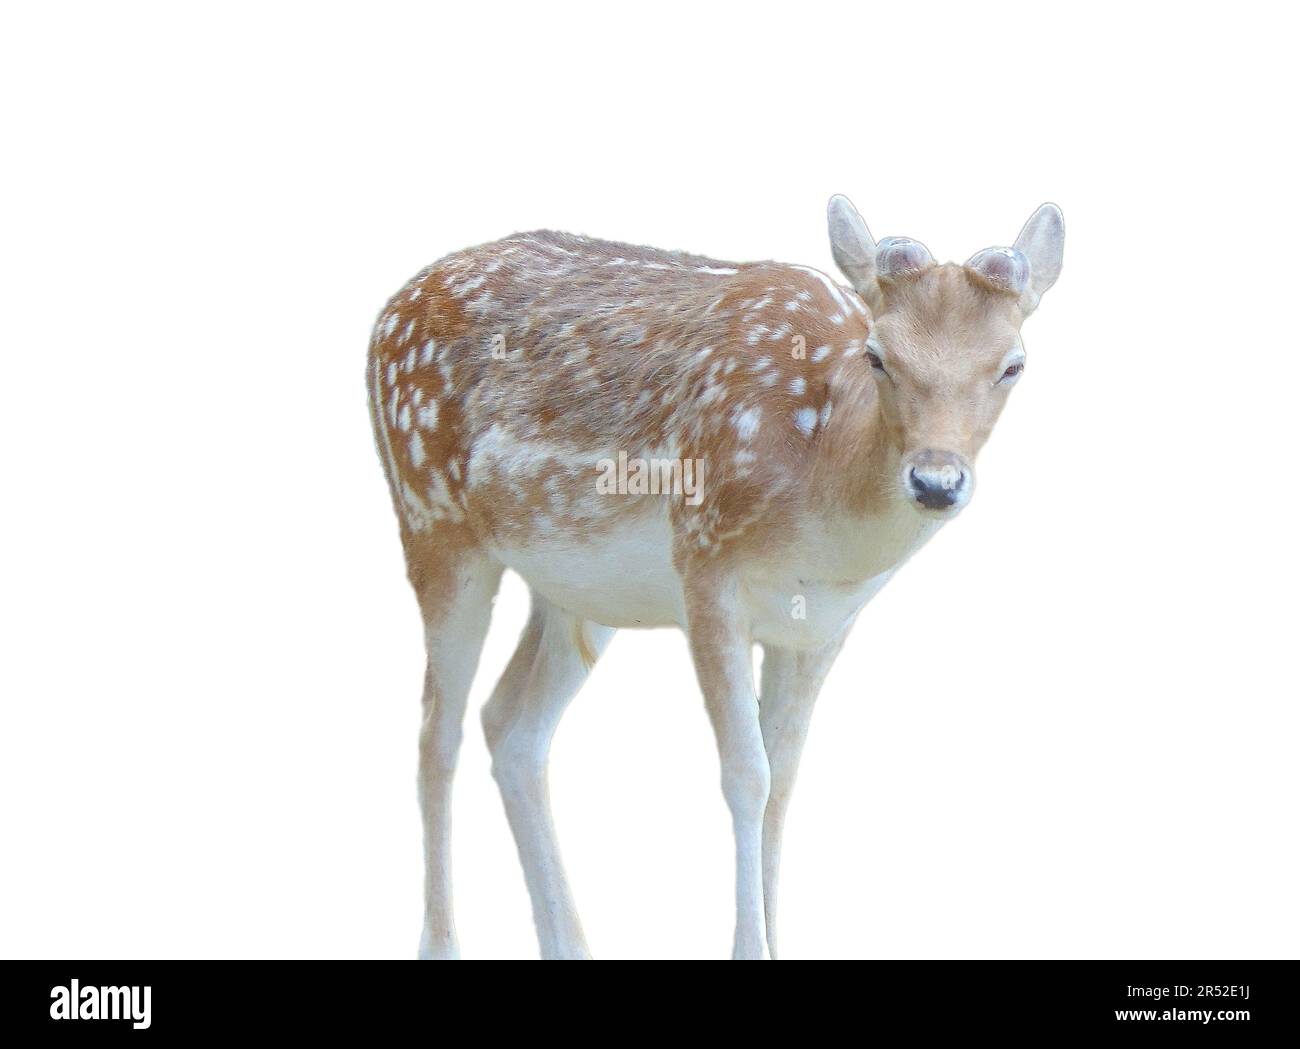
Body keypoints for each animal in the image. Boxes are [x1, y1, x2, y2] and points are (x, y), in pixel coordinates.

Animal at [366, 196, 1064, 960]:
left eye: (1013, 364)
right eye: (878, 354)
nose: (936, 481)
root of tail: (384, 316)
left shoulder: (822, 625)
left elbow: (784, 780)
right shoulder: (705, 565)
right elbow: (747, 775)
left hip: (578, 593)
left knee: (511, 725)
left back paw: (569, 943)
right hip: (431, 516)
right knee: (437, 731)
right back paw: (442, 943)